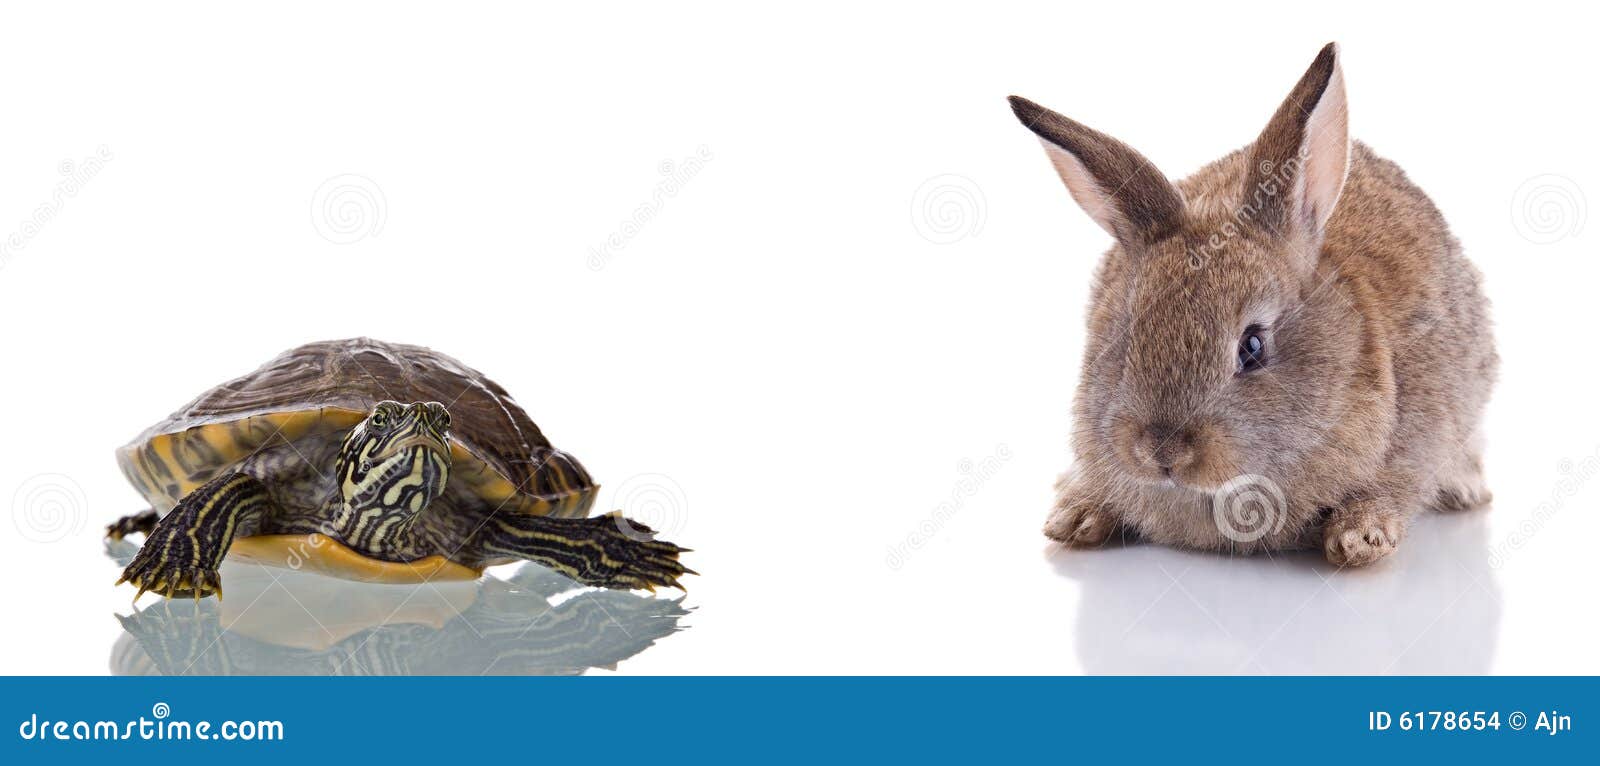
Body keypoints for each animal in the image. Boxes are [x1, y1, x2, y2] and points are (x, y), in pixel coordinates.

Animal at [1010, 43, 1497, 566]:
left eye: (1253, 347)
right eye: (1125, 339)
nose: (1162, 453)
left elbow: (1389, 489)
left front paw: (1359, 539)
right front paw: (1075, 517)